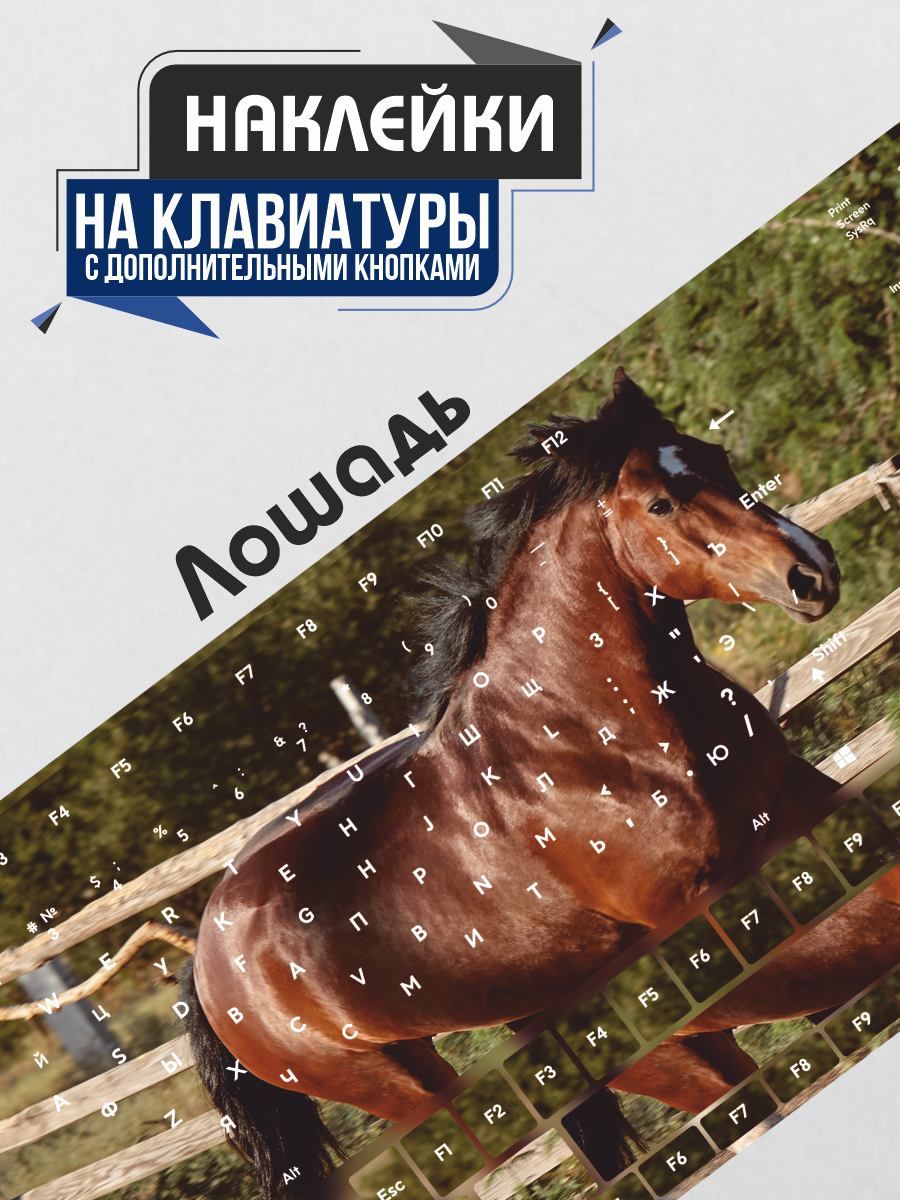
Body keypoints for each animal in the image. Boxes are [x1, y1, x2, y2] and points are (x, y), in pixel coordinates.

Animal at [182, 367, 846, 1195]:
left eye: (715, 456)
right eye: (661, 502)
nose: (812, 571)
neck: (590, 738)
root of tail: (207, 951)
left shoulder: (795, 806)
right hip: (403, 1085)